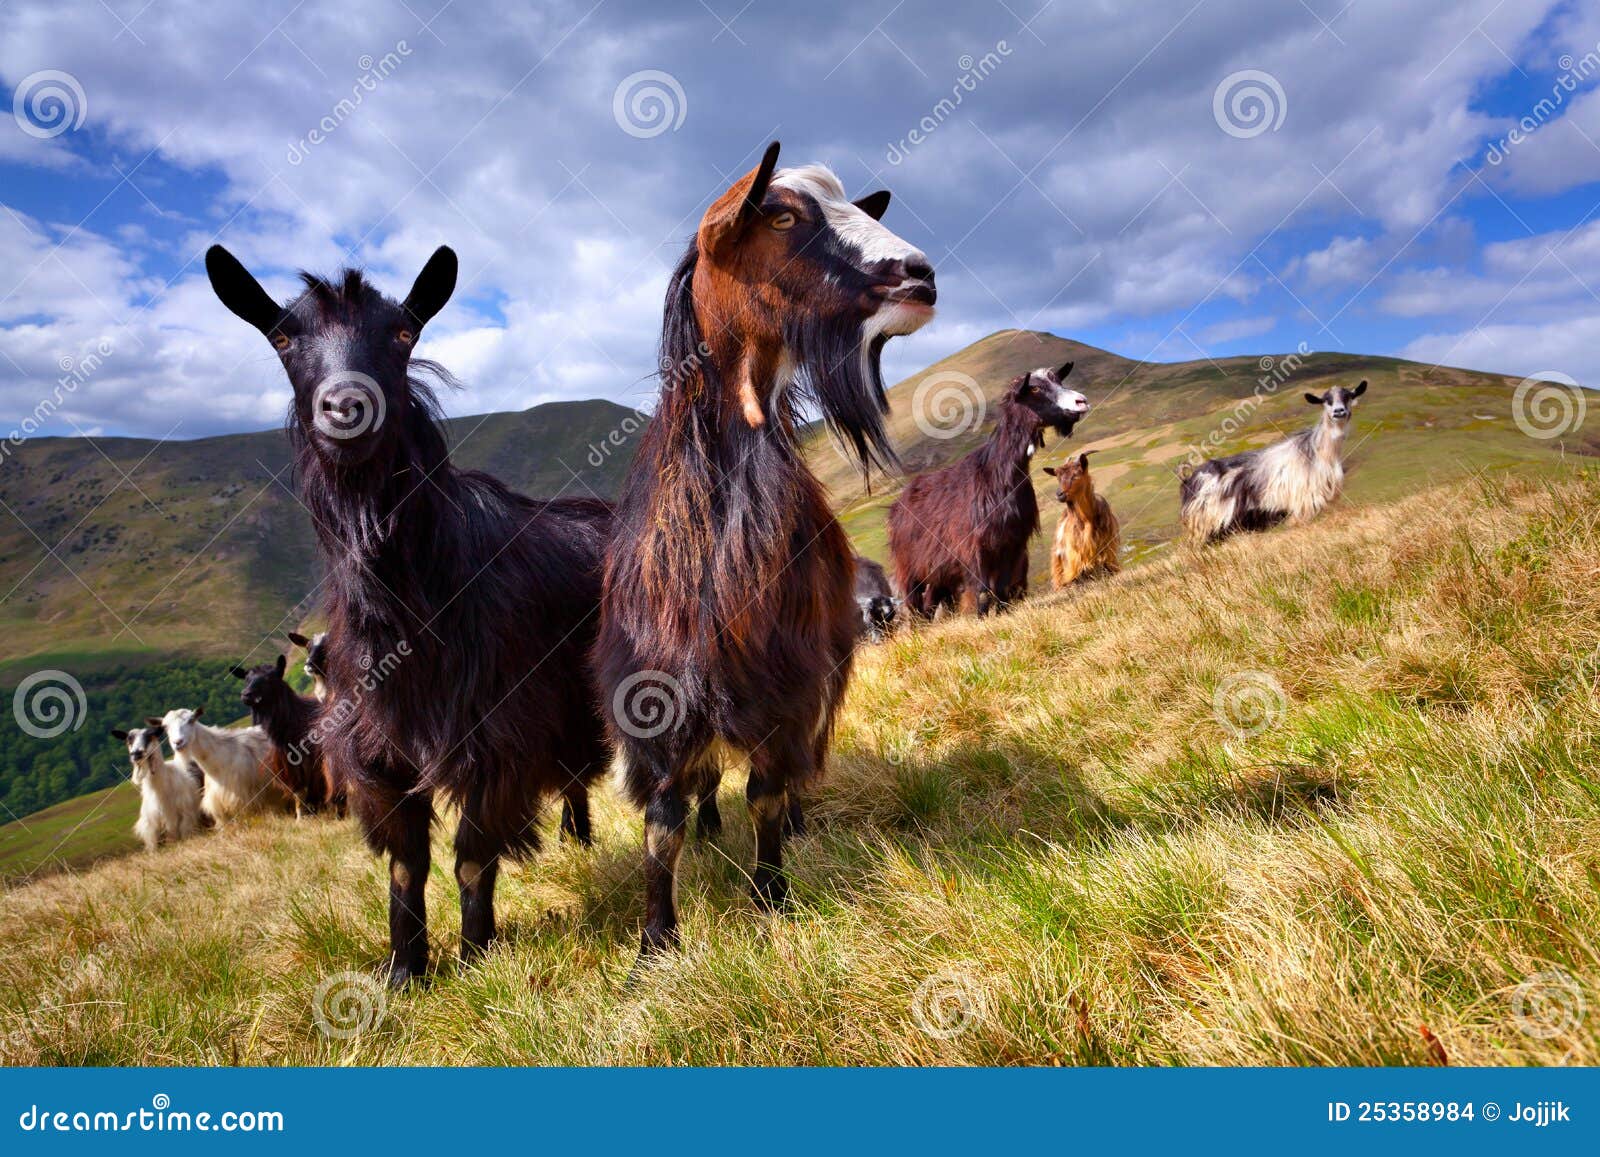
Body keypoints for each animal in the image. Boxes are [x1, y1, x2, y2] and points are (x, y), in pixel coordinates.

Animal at [1180, 380, 1367, 543]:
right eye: (1326, 400)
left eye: (1348, 396)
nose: (1339, 411)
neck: (1317, 453)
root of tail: (1190, 479)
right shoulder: (1302, 506)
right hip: (1206, 523)